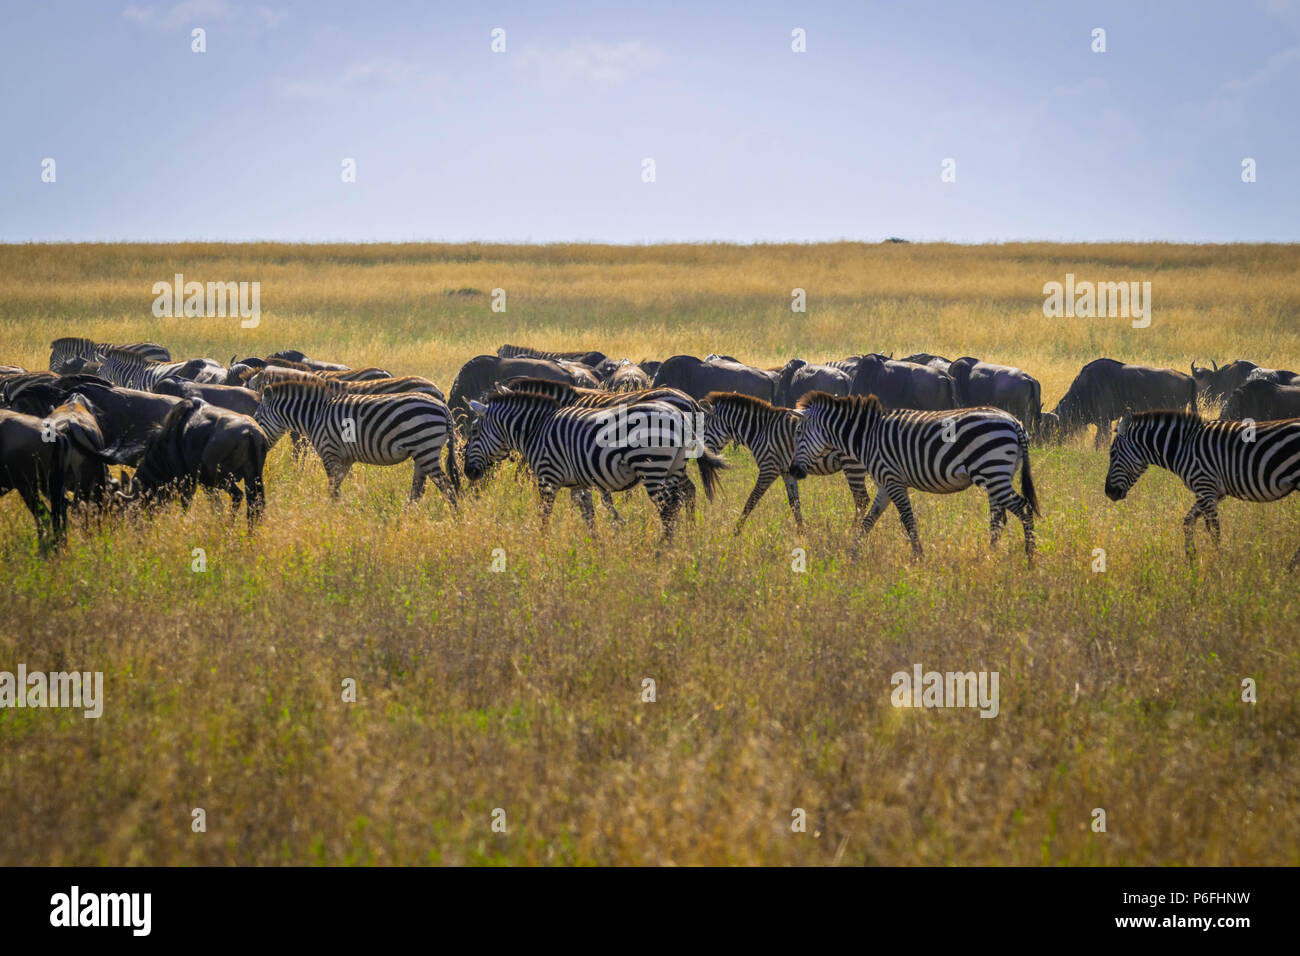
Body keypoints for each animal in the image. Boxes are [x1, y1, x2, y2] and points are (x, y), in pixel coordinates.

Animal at [253, 380, 458, 504]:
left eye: (256, 418)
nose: (260, 444)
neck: (315, 415)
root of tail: (444, 408)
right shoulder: (345, 458)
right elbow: (336, 487)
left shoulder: (329, 451)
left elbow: (333, 488)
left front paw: (334, 517)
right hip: (422, 453)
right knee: (418, 491)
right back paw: (405, 520)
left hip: (426, 448)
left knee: (448, 488)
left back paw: (455, 520)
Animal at [462, 389, 725, 541]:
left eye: (474, 431)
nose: (468, 472)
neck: (536, 429)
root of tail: (679, 414)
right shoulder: (579, 482)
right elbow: (588, 516)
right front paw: (597, 548)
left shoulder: (548, 477)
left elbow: (544, 514)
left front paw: (542, 545)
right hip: (674, 467)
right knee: (681, 499)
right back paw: (680, 542)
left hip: (652, 467)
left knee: (668, 508)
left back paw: (662, 552)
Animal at [700, 391, 871, 534]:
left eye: (703, 429)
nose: (701, 457)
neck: (760, 431)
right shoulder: (787, 472)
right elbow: (794, 504)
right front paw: (802, 534)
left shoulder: (769, 469)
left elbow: (751, 500)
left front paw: (736, 532)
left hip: (852, 465)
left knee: (862, 500)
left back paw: (852, 533)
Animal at [790, 392, 1039, 563]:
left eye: (799, 433)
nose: (793, 470)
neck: (866, 436)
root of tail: (1015, 423)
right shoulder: (884, 483)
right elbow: (869, 519)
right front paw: (852, 552)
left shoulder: (892, 480)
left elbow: (907, 519)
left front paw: (918, 557)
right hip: (996, 475)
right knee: (999, 518)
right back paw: (989, 555)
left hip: (992, 470)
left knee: (1024, 510)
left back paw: (1031, 559)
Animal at [1104, 407, 1300, 568]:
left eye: (1112, 454)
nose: (1108, 492)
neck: (1183, 447)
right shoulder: (1212, 492)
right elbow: (1188, 521)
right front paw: (1191, 560)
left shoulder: (1205, 487)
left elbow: (1214, 531)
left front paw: (1218, 564)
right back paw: (1290, 568)